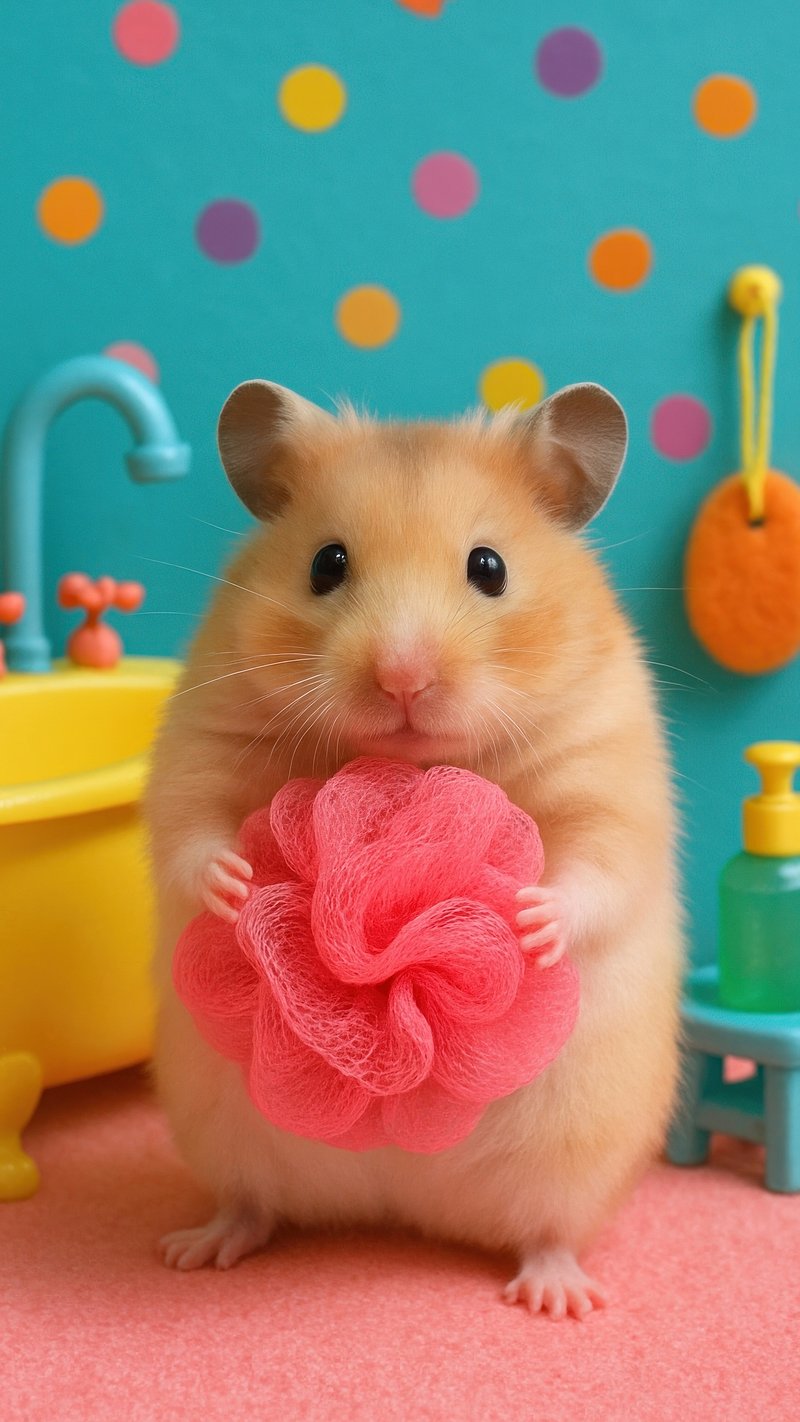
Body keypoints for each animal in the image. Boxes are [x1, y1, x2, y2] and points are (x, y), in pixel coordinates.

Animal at [146, 379, 683, 1320]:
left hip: (578, 1165)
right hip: (222, 1141)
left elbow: (596, 865)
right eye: (325, 564)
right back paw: (196, 1249)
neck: (413, 762)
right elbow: (191, 827)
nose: (402, 676)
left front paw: (527, 919)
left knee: (548, 1231)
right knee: (251, 1204)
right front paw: (237, 888)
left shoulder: (608, 769)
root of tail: (400, 1206)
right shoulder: (202, 736)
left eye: (489, 568)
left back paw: (557, 1298)